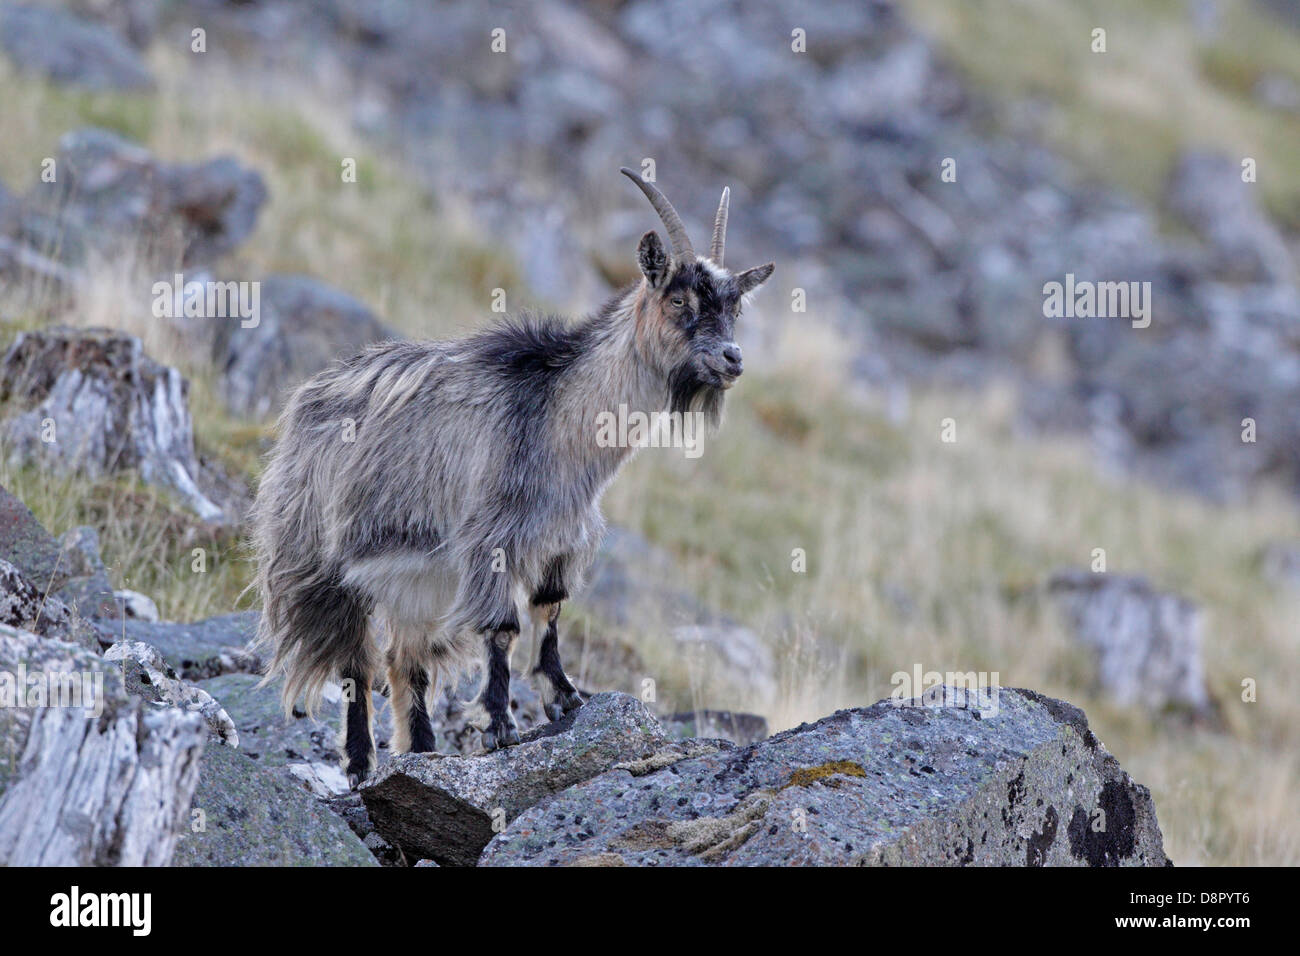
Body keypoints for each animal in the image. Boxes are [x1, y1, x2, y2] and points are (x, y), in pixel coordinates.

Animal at [252, 168, 774, 783]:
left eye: (735, 307)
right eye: (678, 298)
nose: (732, 358)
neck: (560, 417)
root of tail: (305, 401)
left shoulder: (560, 536)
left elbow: (549, 609)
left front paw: (564, 697)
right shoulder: (492, 536)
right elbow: (502, 628)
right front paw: (500, 725)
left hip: (416, 577)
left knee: (406, 662)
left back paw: (421, 750)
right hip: (323, 561)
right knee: (356, 660)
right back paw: (360, 764)